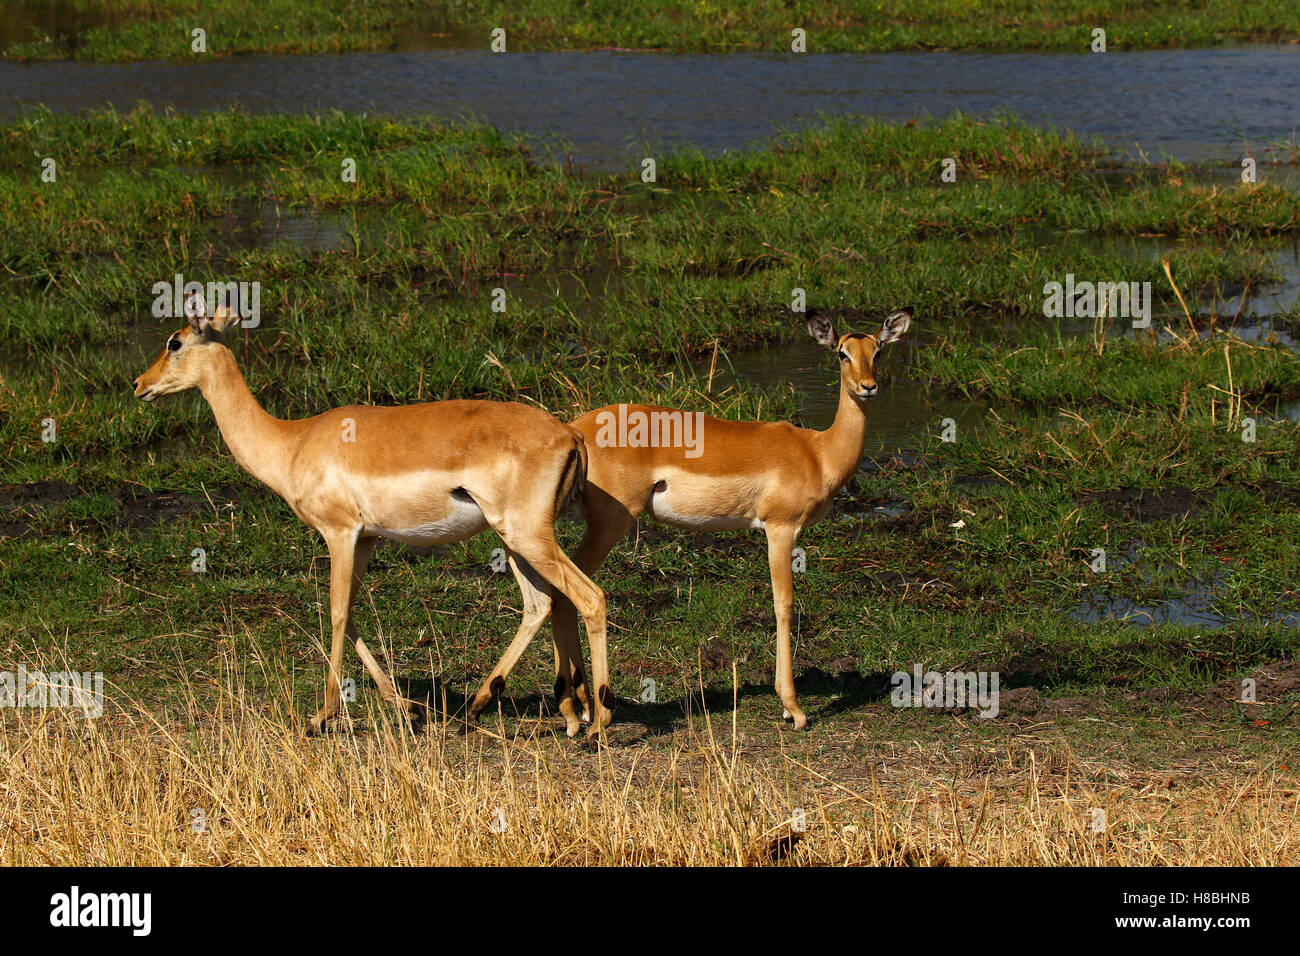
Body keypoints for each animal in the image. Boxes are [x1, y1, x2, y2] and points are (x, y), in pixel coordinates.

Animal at [132, 293, 610, 737]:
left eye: (175, 341)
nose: (139, 384)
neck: (294, 443)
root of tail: (569, 435)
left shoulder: (340, 533)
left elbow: (337, 611)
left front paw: (321, 716)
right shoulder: (366, 538)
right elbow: (352, 612)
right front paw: (408, 707)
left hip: (527, 536)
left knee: (589, 597)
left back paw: (596, 722)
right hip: (513, 541)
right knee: (542, 604)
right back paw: (521, 711)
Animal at [551, 308, 912, 731]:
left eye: (878, 350)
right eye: (842, 352)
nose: (868, 386)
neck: (818, 452)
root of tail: (577, 429)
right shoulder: (780, 528)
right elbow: (783, 603)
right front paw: (794, 708)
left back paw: (579, 709)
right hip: (610, 524)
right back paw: (589, 714)